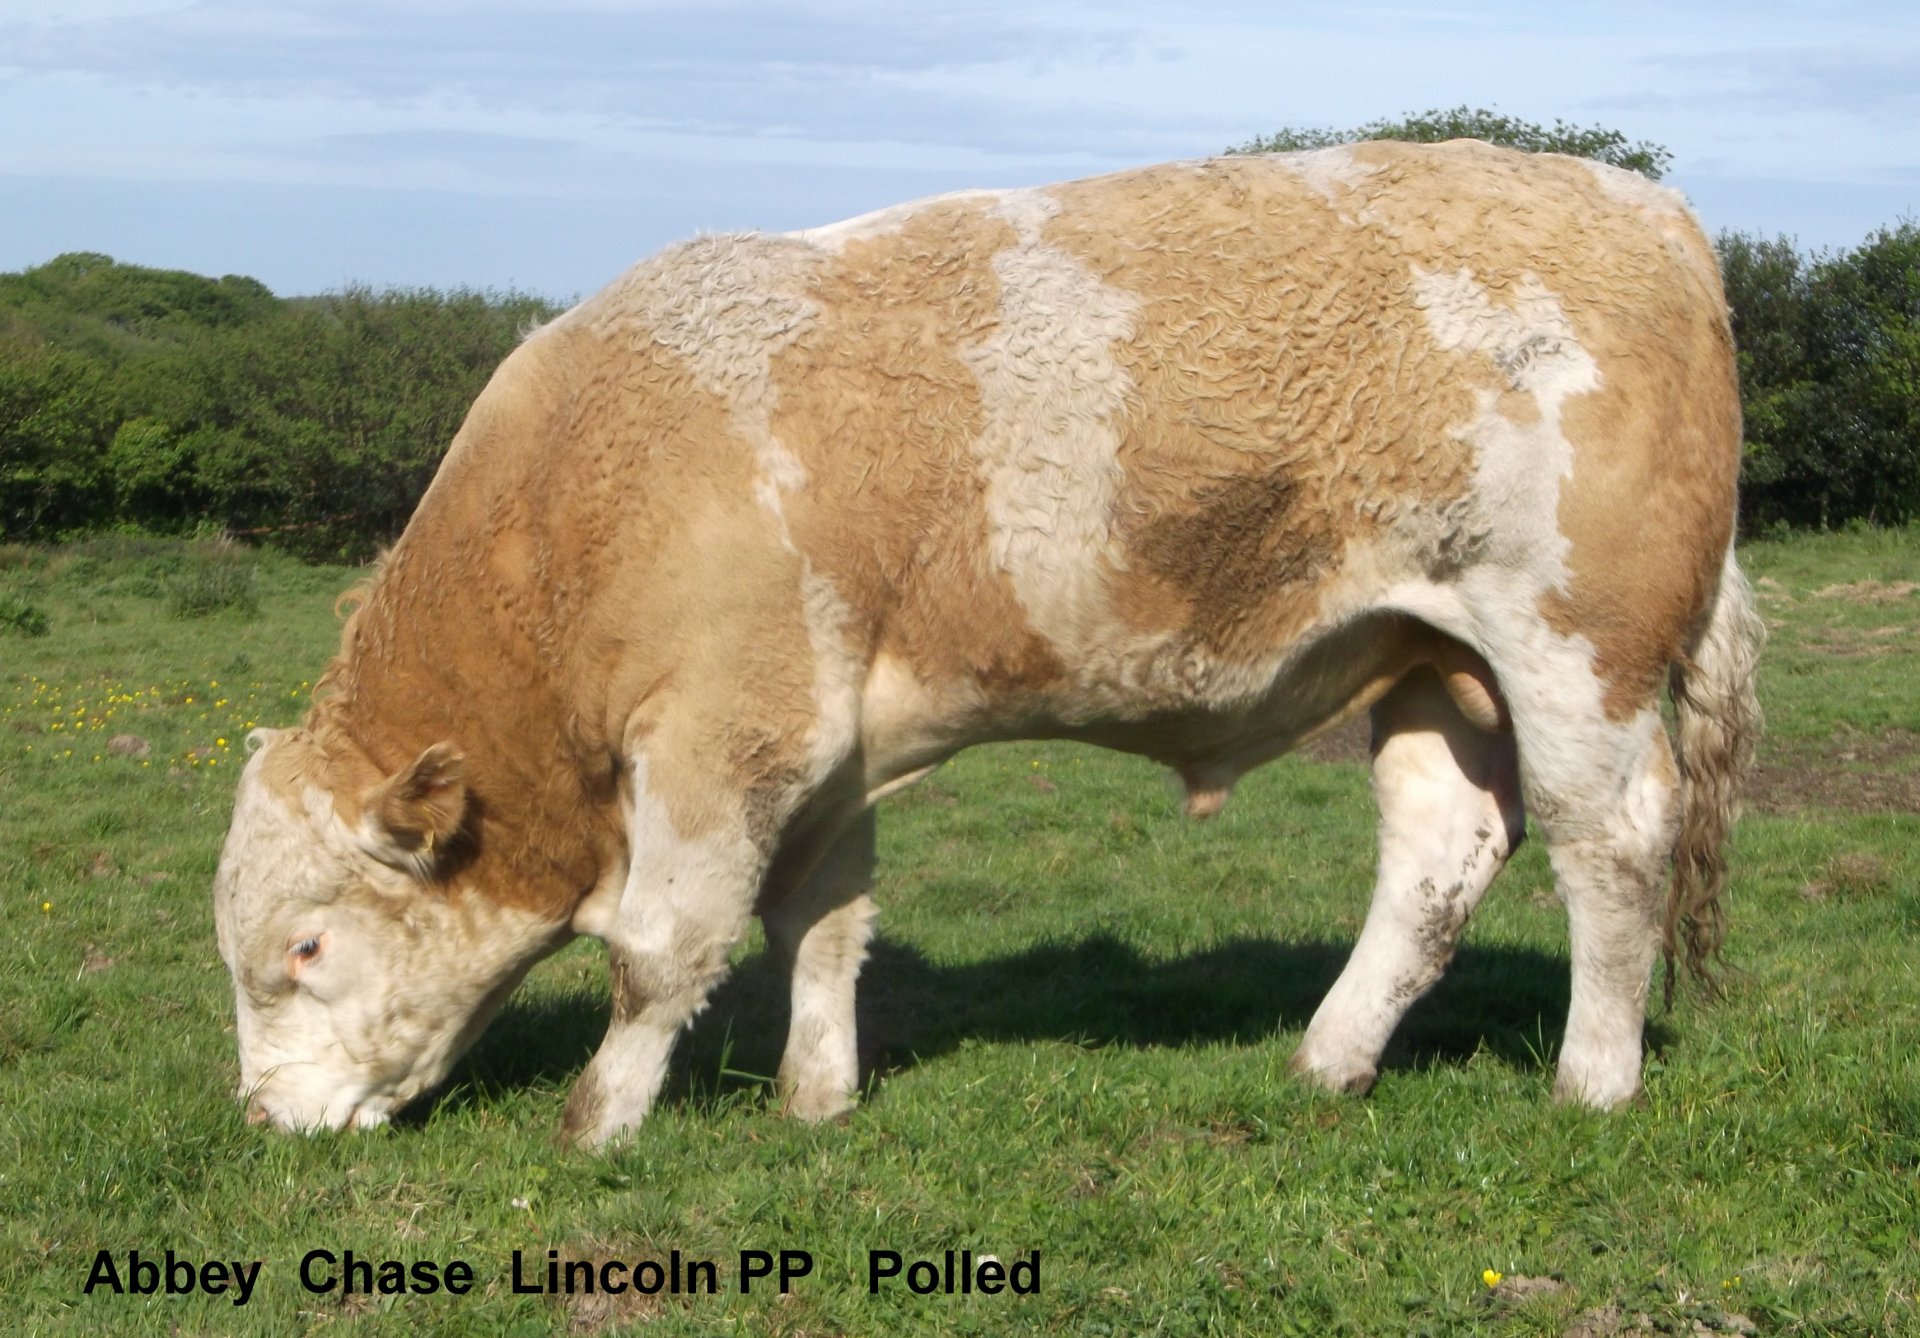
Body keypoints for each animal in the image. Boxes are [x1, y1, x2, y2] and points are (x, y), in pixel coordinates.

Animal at [213, 140, 1763, 1148]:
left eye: (303, 945)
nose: (264, 1120)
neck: (590, 493)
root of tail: (1655, 207)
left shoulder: (726, 733)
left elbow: (664, 947)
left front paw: (597, 1124)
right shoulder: (824, 741)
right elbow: (823, 927)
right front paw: (817, 1101)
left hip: (1573, 644)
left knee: (1611, 842)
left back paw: (1593, 1083)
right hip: (1436, 657)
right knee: (1440, 852)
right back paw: (1327, 1063)